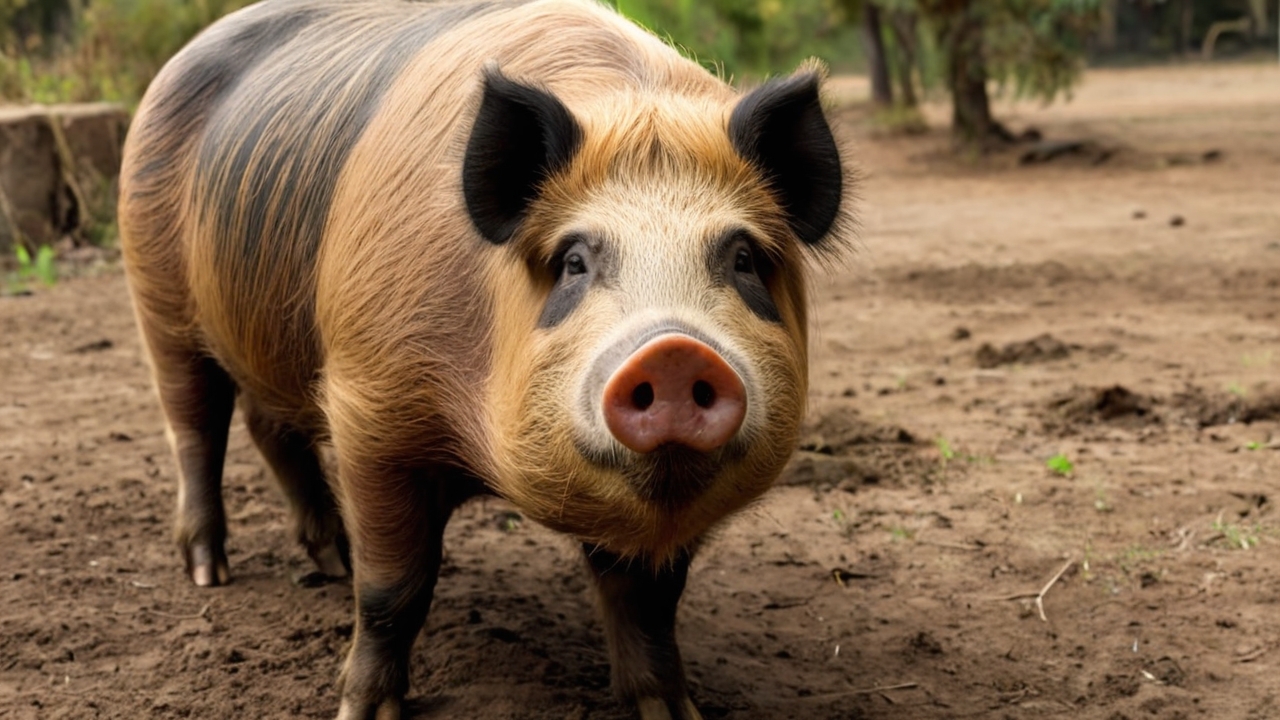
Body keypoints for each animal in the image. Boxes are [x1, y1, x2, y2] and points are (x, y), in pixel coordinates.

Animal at [118, 0, 856, 717]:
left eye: (742, 259)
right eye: (574, 261)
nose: (675, 351)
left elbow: (649, 607)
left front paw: (675, 713)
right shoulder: (368, 405)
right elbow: (393, 588)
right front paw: (365, 710)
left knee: (269, 427)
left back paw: (330, 563)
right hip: (155, 292)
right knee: (195, 423)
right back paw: (211, 574)